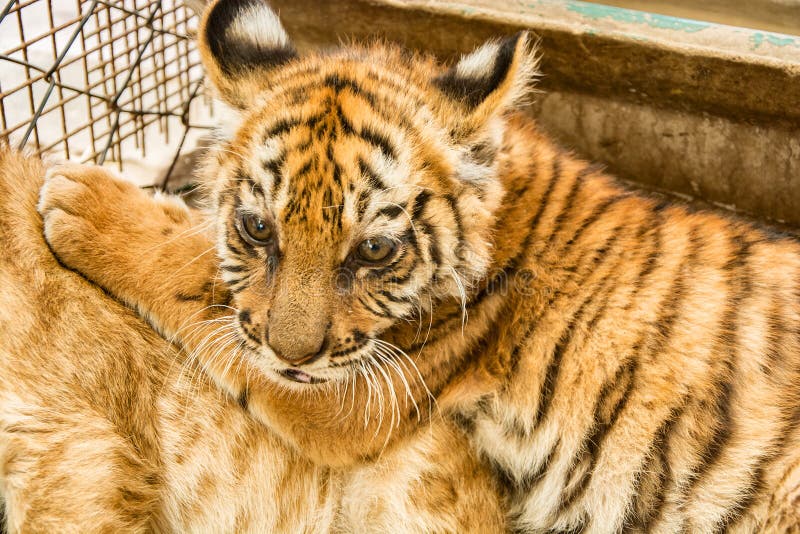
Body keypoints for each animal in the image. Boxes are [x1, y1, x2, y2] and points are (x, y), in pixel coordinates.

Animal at [37, 0, 800, 531]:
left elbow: (194, 279)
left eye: (375, 249)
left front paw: (83, 200)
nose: (292, 355)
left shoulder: (354, 396)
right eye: (258, 228)